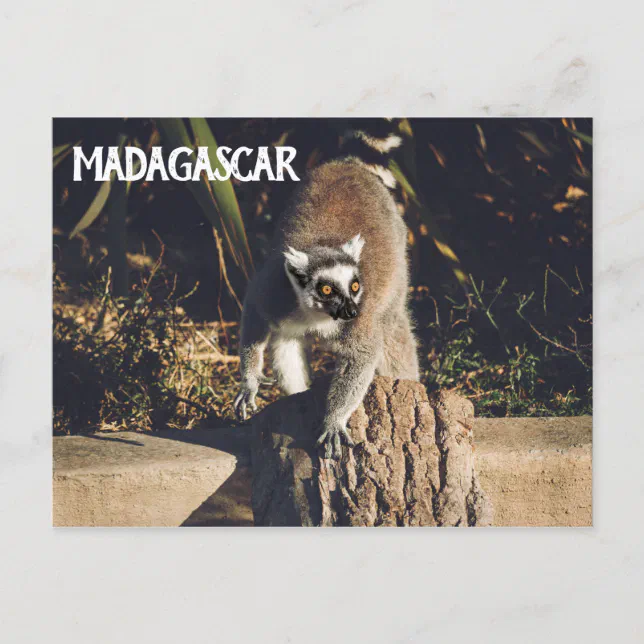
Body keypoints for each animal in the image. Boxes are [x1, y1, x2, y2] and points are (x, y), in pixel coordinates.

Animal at [234, 123, 419, 458]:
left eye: (355, 286)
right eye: (326, 289)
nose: (351, 310)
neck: (317, 315)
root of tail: (347, 164)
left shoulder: (363, 314)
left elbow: (361, 357)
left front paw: (334, 421)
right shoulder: (275, 291)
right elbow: (254, 310)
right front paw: (250, 381)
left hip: (399, 266)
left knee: (393, 327)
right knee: (285, 341)